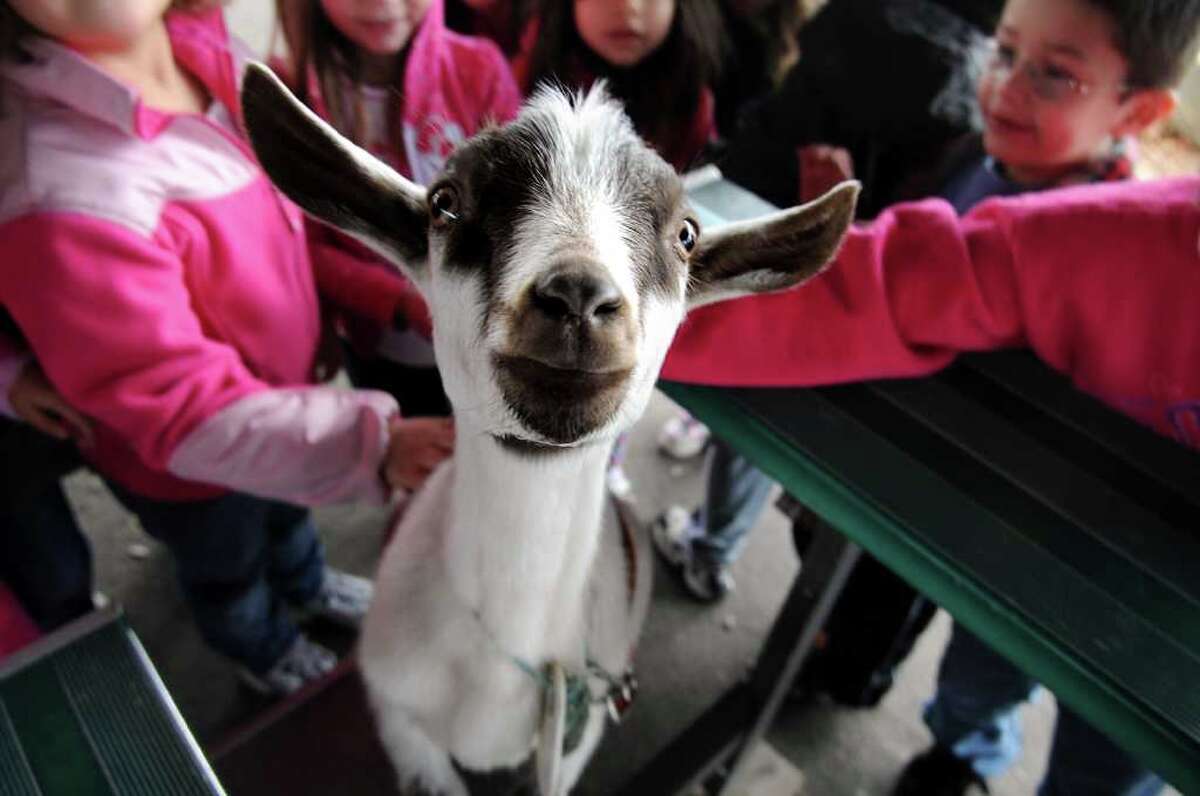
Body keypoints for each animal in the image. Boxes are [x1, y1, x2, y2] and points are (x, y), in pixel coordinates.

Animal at [241, 63, 857, 796]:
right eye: (445, 202)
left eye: (685, 235)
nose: (579, 297)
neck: (502, 657)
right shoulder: (401, 720)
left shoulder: (573, 748)